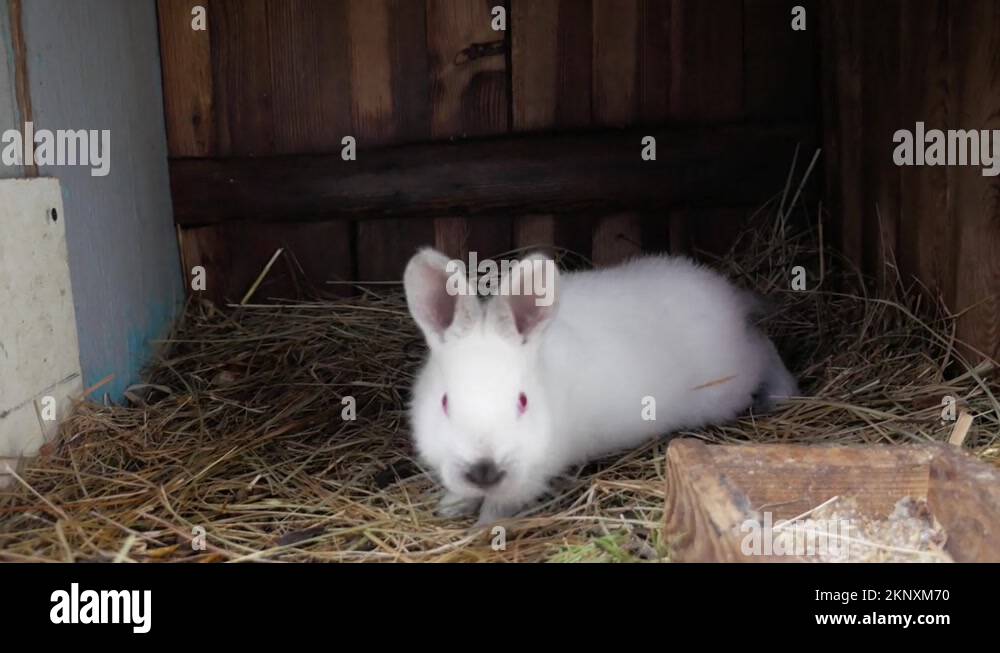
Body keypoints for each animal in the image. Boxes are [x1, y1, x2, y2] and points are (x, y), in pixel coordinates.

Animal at [403, 247, 798, 526]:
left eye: (523, 401)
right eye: (444, 403)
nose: (483, 470)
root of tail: (728, 297)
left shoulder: (533, 474)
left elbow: (502, 504)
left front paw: (480, 527)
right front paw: (451, 506)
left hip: (730, 382)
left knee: (763, 346)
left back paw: (782, 392)